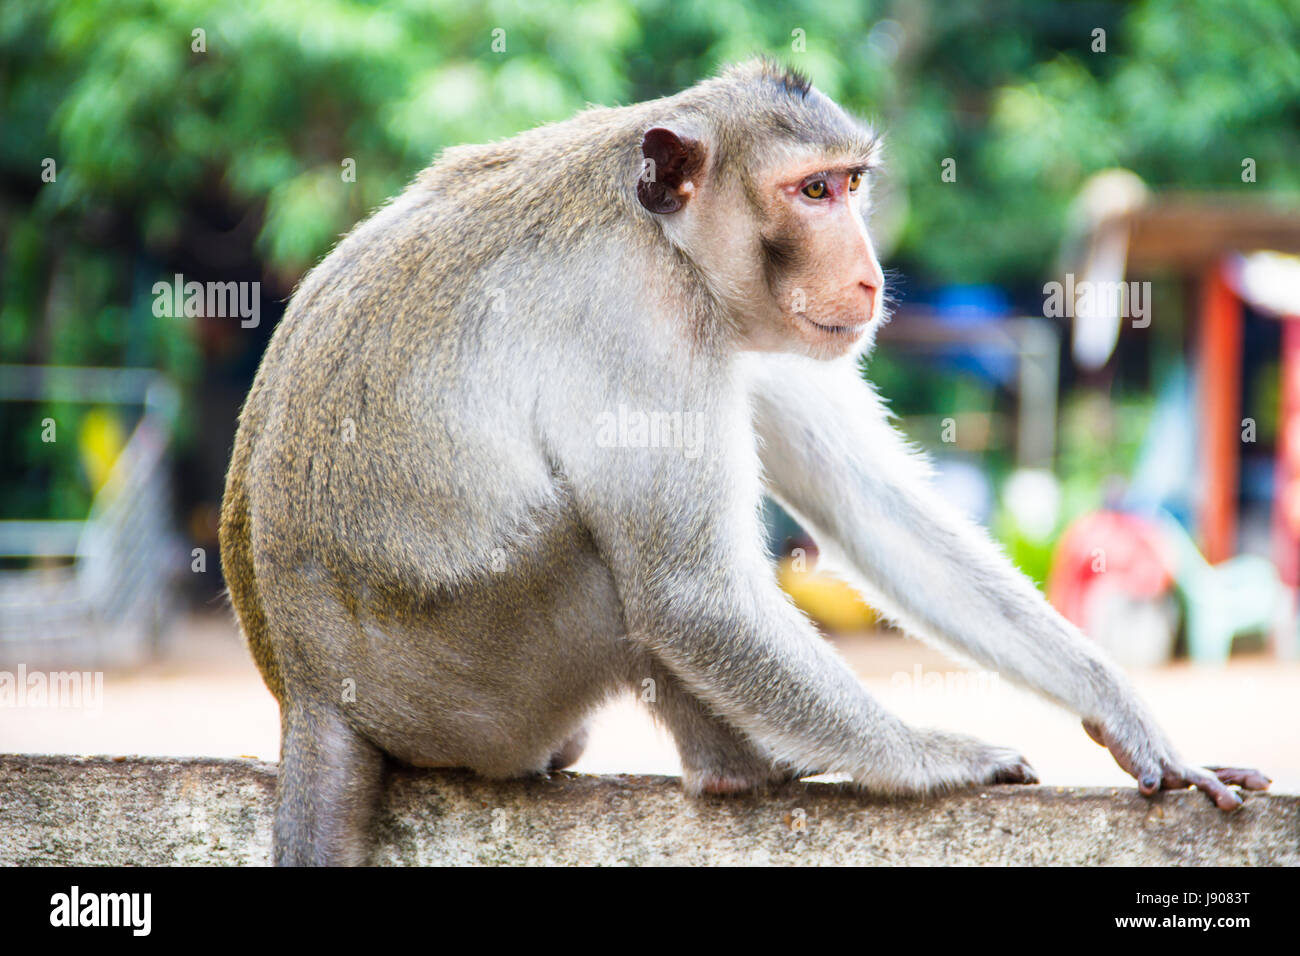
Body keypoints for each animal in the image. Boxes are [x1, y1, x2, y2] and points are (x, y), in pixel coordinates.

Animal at [219, 60, 1269, 866]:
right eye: (811, 192)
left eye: (850, 184)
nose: (869, 277)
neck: (666, 237)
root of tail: (306, 693)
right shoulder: (644, 320)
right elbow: (691, 597)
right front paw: (926, 756)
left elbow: (870, 507)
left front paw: (1129, 718)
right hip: (467, 686)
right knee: (607, 565)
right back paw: (744, 767)